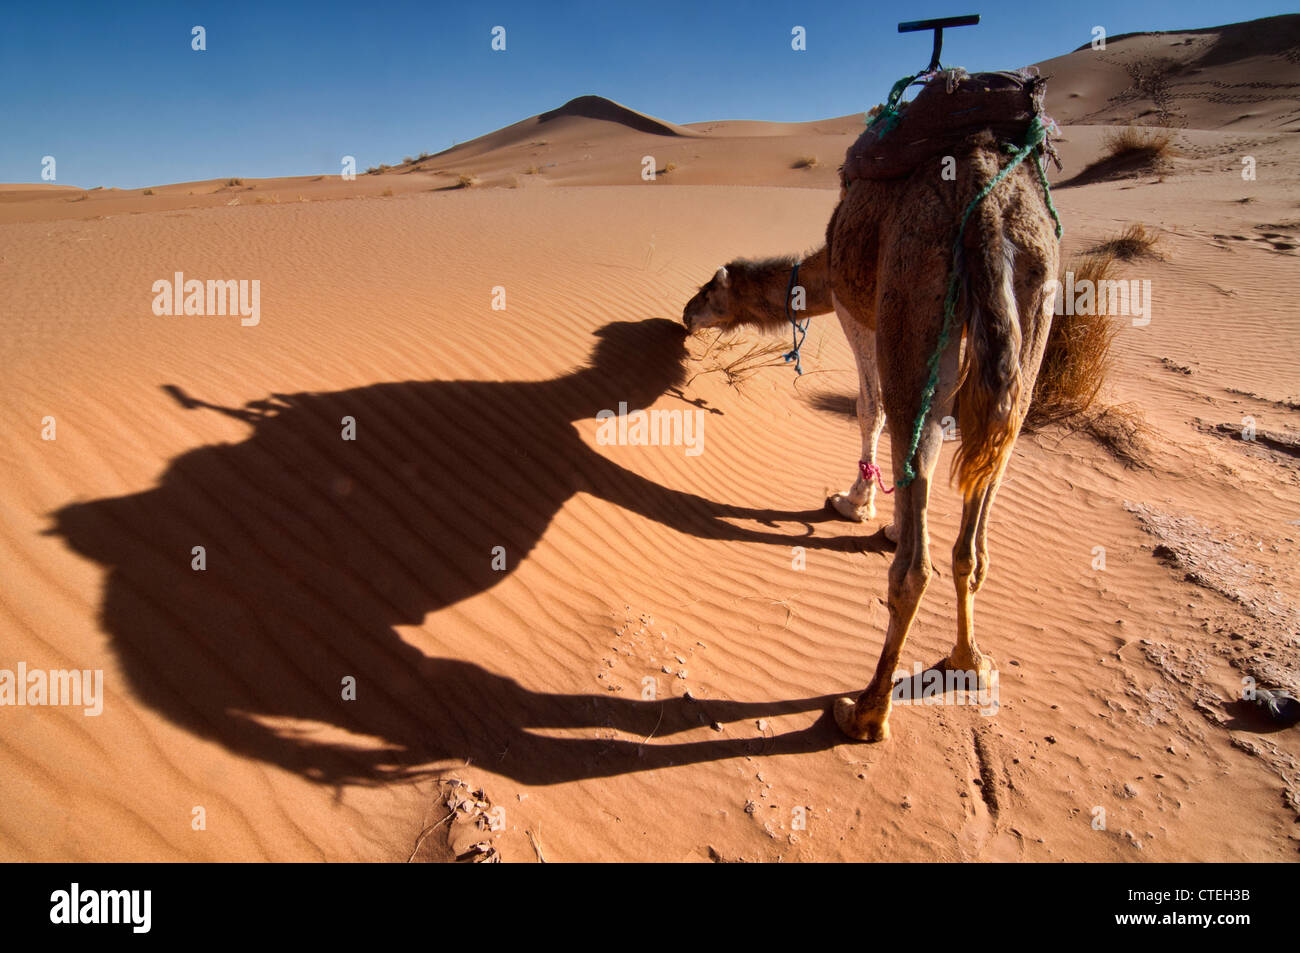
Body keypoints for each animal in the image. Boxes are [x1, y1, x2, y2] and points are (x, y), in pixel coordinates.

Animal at [684, 124, 1061, 742]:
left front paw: (854, 503)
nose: (685, 314)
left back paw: (864, 712)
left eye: (712, 293)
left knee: (913, 562)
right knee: (980, 506)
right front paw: (888, 519)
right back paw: (968, 660)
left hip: (911, 298)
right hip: (1033, 316)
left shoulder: (851, 305)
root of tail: (989, 202)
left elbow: (870, 408)